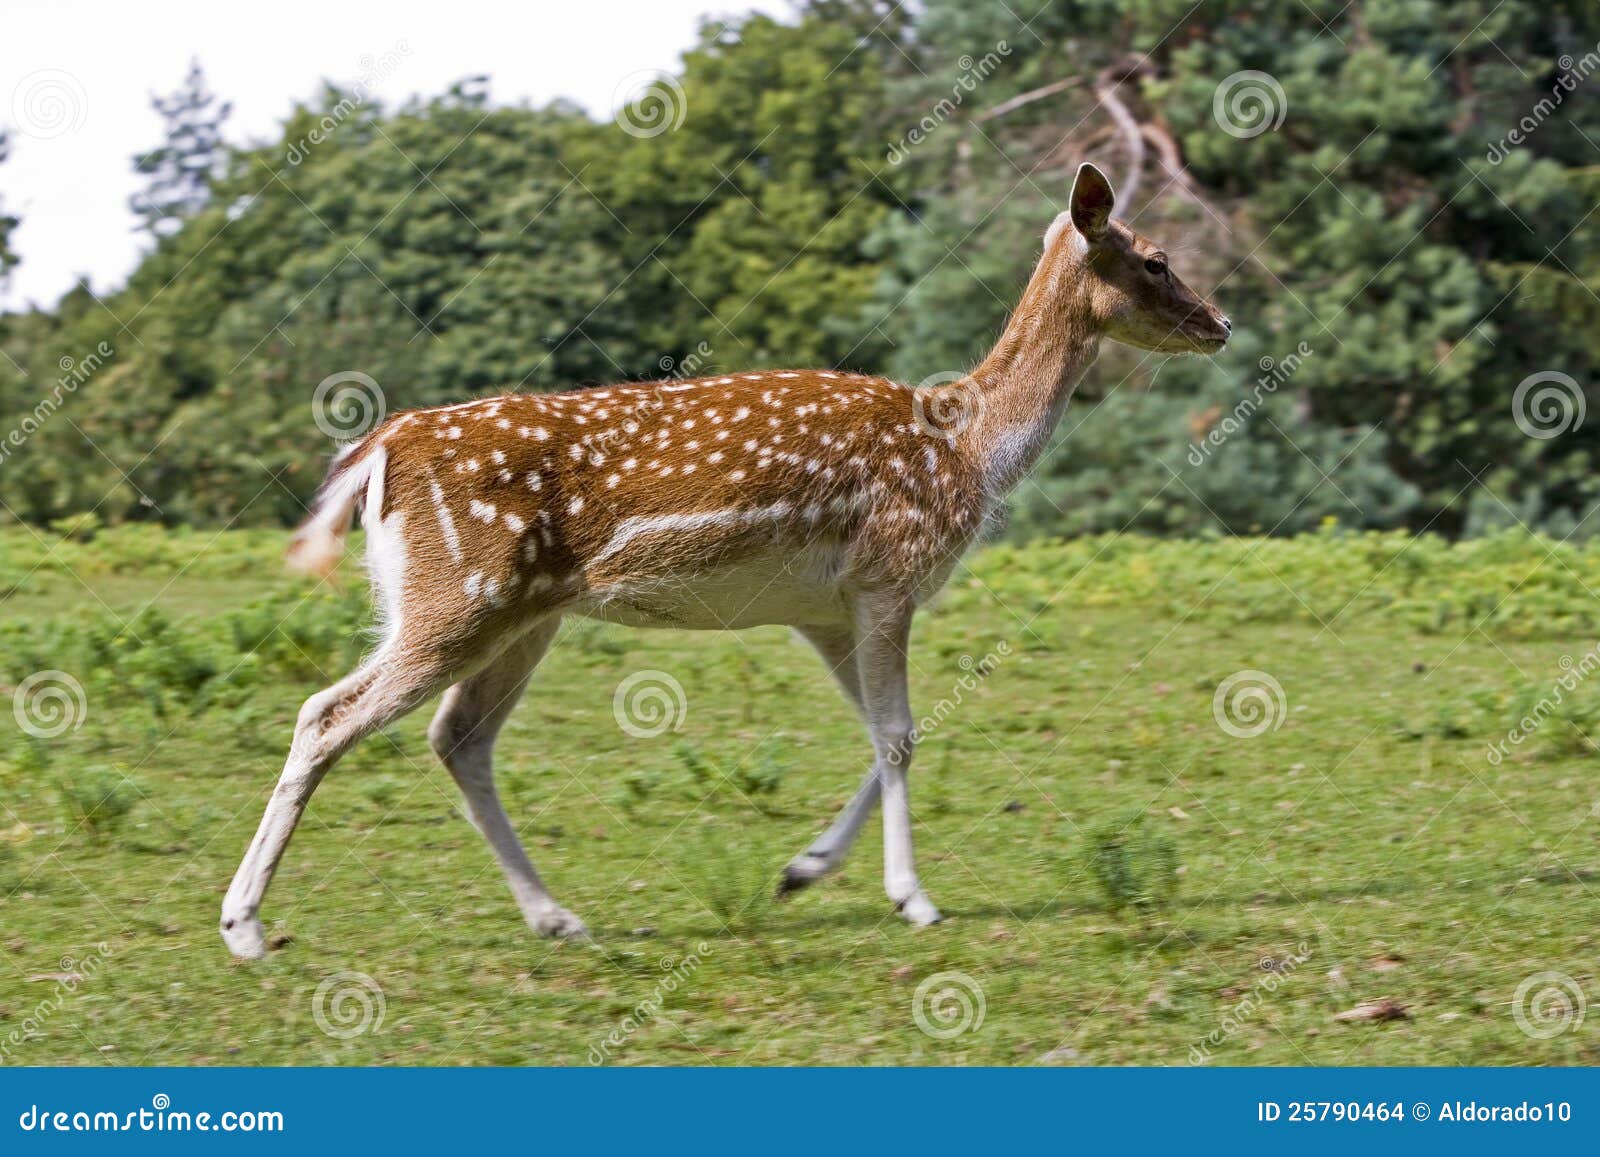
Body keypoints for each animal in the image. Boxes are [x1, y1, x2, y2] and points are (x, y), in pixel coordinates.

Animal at [219, 163, 1230, 958]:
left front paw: (803, 869)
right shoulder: (891, 570)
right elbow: (900, 733)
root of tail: (377, 447)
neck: (967, 449)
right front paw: (913, 898)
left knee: (458, 736)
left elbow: (883, 733)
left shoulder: (827, 606)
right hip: (457, 592)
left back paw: (556, 916)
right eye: (1155, 258)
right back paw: (245, 926)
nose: (1220, 322)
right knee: (327, 712)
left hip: (520, 613)